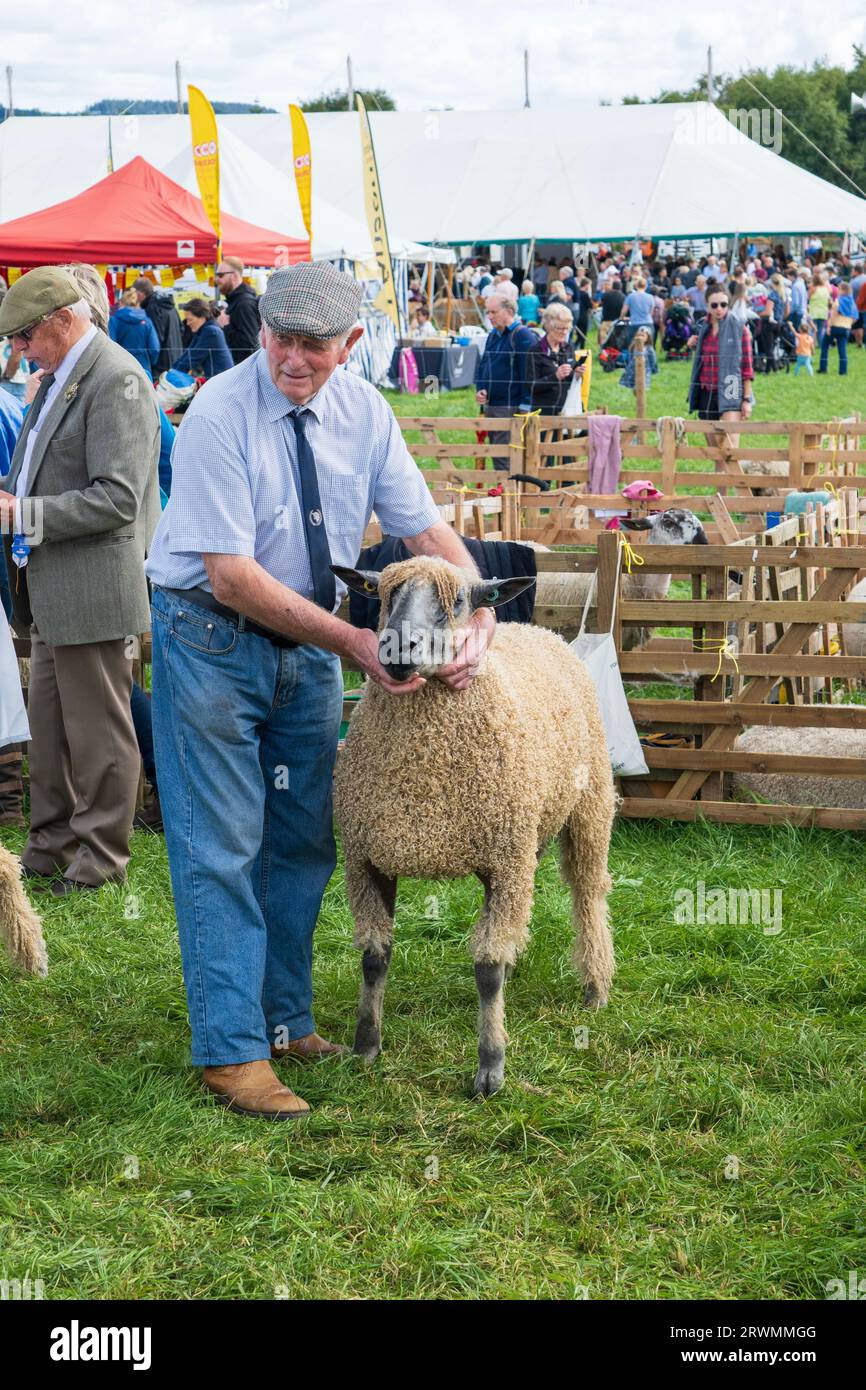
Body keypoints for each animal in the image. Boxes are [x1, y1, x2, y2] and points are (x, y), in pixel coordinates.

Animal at [332, 555, 616, 1097]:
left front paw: (490, 1066)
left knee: (588, 893)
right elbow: (375, 956)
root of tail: (535, 627)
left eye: (459, 600)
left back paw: (596, 986)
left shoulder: (505, 860)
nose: (398, 649)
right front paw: (366, 1046)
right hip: (524, 836)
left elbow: (485, 970)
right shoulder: (367, 860)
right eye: (384, 594)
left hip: (587, 807)